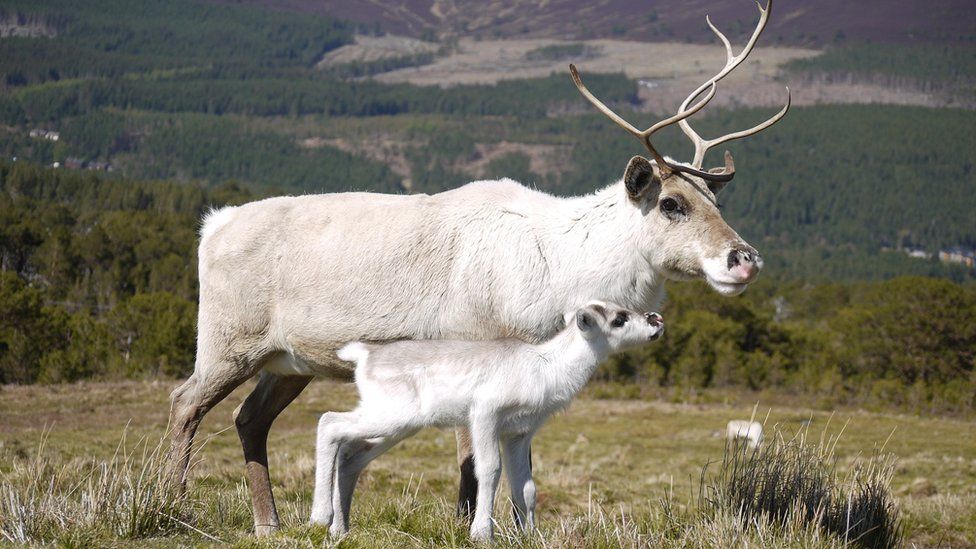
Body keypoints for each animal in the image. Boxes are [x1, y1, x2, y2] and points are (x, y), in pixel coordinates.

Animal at [166, 0, 789, 535]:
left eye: (717, 200)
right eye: (671, 203)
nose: (744, 259)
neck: (560, 273)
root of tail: (212, 226)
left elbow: (523, 472)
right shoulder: (475, 352)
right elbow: (472, 464)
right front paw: (468, 526)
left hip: (291, 360)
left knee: (249, 418)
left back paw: (268, 522)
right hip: (227, 341)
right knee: (185, 403)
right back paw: (171, 507)